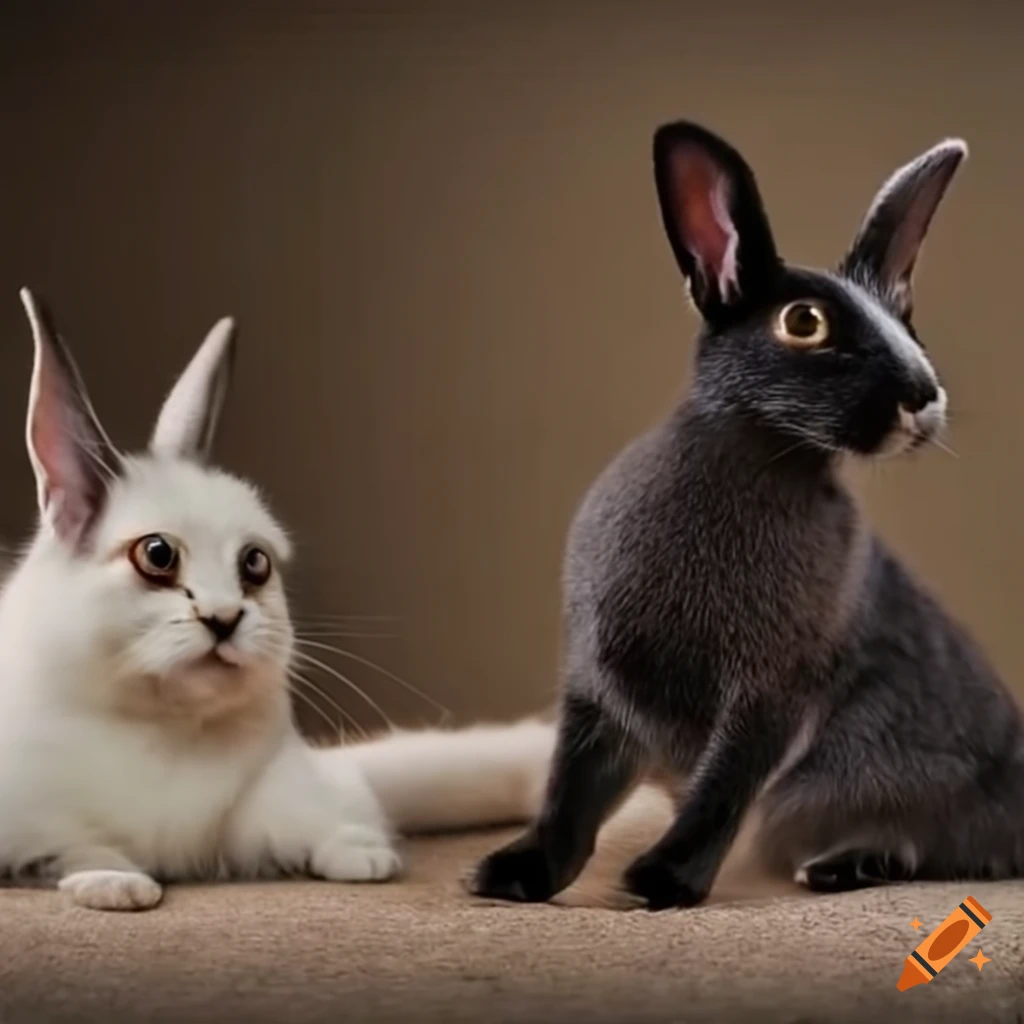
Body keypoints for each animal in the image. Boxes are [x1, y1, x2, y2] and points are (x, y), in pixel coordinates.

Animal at [0, 289, 553, 912]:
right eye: (158, 555)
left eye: (254, 563)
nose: (224, 619)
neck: (164, 733)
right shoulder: (29, 824)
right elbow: (73, 850)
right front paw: (119, 886)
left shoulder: (282, 794)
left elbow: (313, 824)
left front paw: (366, 859)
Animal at [469, 121, 1024, 911]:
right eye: (804, 322)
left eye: (904, 320)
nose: (923, 395)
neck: (756, 460)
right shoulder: (598, 693)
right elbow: (569, 797)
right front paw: (512, 877)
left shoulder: (771, 696)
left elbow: (721, 792)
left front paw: (662, 881)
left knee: (937, 848)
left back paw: (845, 866)